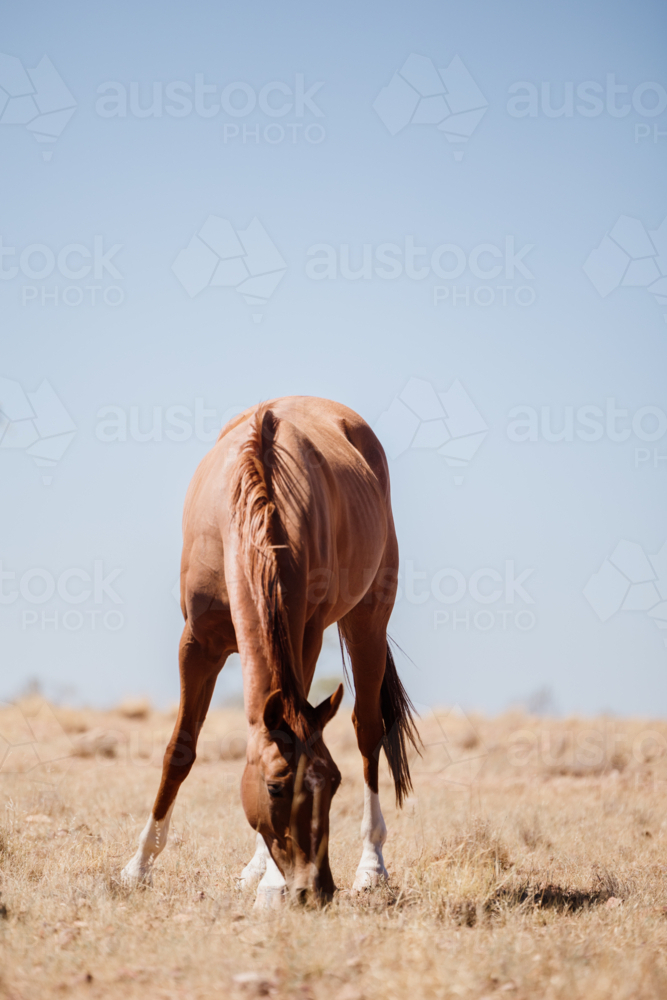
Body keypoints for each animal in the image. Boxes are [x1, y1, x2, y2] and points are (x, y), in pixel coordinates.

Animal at [121, 396, 420, 904]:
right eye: (277, 788)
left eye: (333, 784)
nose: (318, 889)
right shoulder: (197, 644)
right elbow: (180, 749)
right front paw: (139, 867)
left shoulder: (307, 636)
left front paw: (274, 882)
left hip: (367, 622)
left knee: (368, 731)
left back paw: (370, 867)